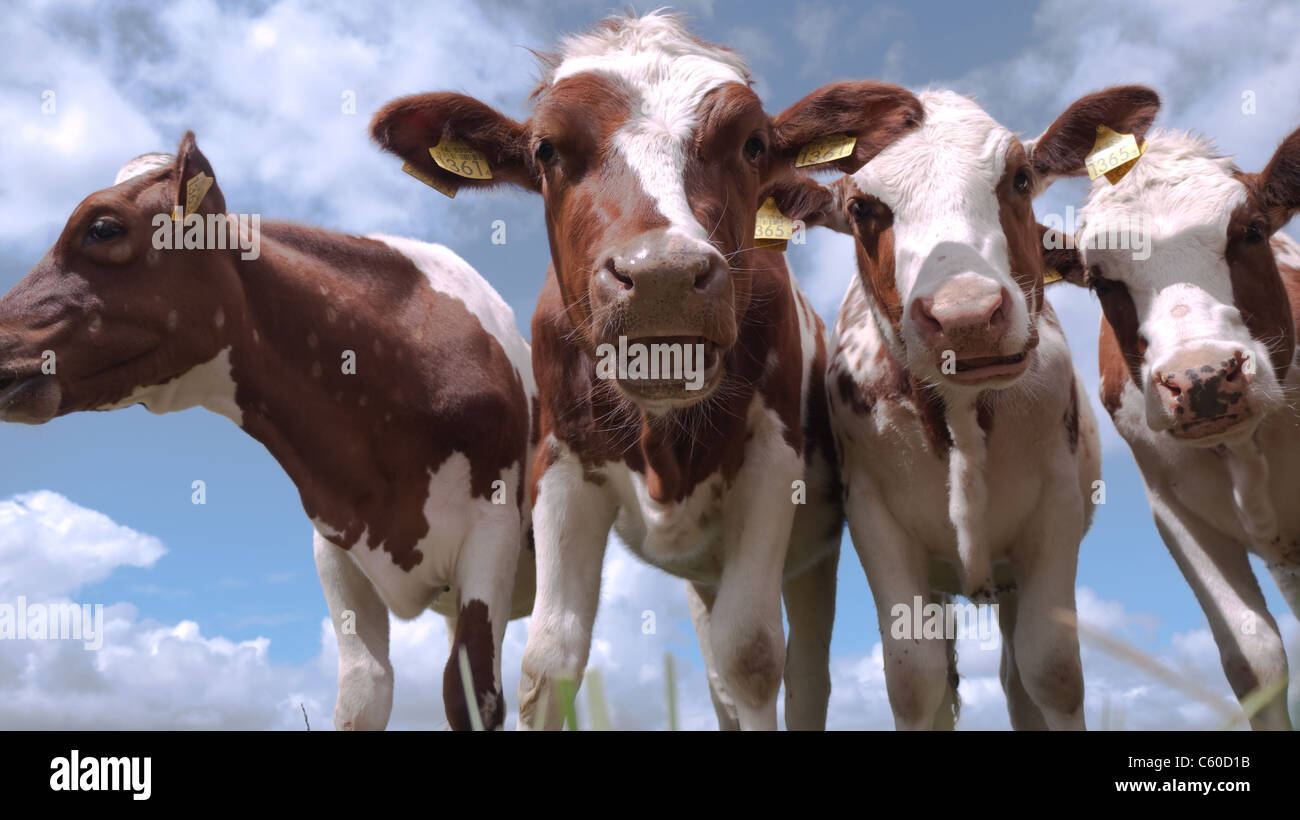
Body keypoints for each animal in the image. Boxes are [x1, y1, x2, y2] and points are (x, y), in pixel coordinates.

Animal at [370, 11, 922, 729]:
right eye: (546, 151)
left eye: (752, 144)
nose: (662, 276)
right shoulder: (562, 465)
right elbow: (549, 659)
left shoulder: (773, 462)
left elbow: (752, 655)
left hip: (811, 555)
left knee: (801, 676)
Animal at [767, 88, 1126, 730]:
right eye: (860, 208)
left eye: (1020, 178)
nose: (966, 315)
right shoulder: (874, 516)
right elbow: (916, 680)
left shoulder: (1055, 509)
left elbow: (1053, 671)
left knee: (1017, 679)